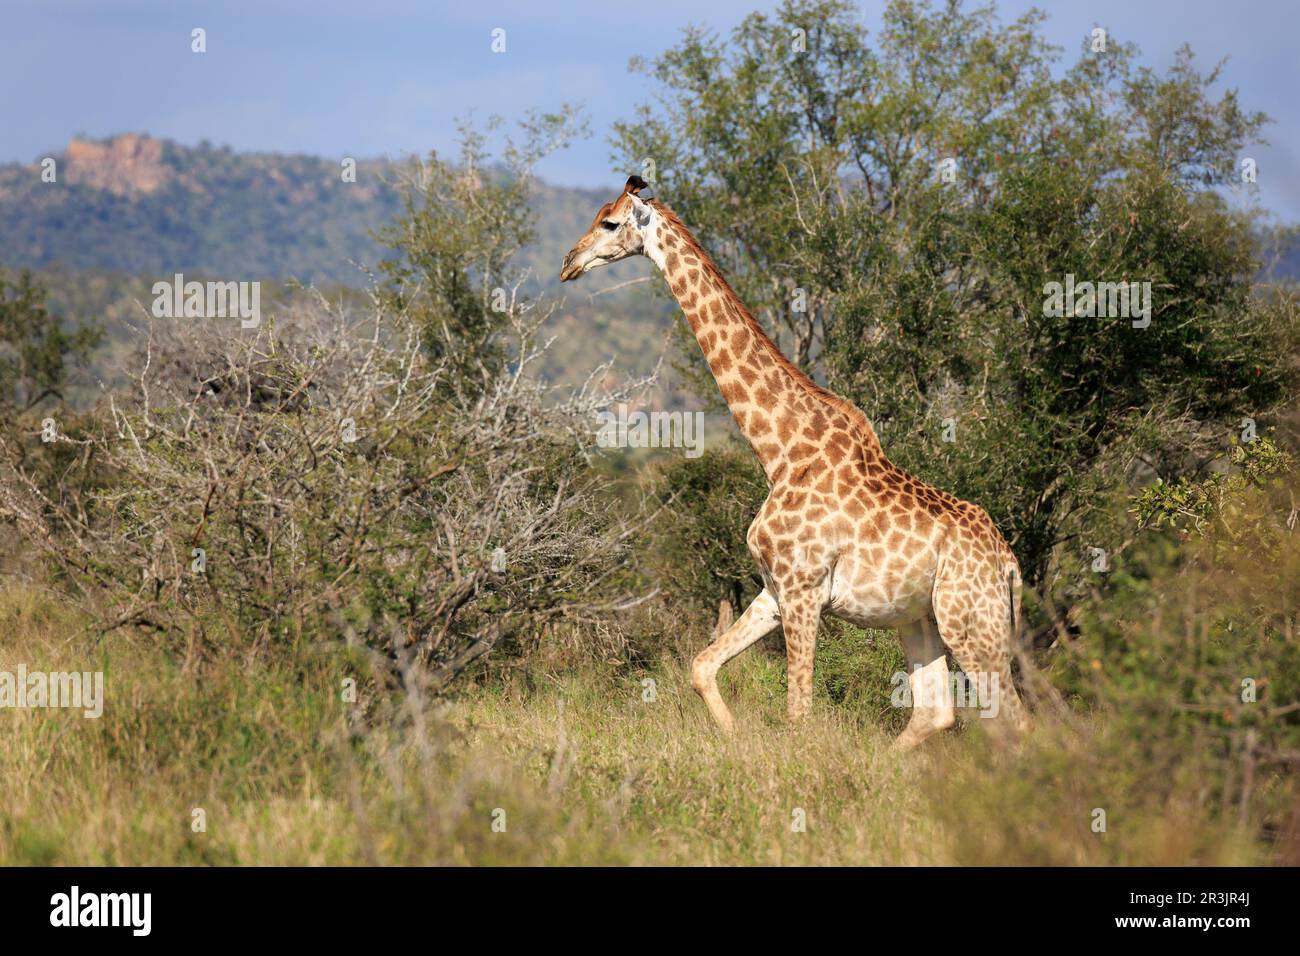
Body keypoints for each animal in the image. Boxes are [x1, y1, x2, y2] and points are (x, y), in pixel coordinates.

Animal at [560, 176, 1030, 748]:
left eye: (609, 223)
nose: (568, 262)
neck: (781, 452)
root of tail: (1009, 564)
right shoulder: (774, 586)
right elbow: (702, 666)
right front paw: (734, 739)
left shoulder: (805, 591)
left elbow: (798, 712)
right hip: (921, 620)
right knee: (935, 711)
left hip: (972, 623)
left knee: (1016, 719)